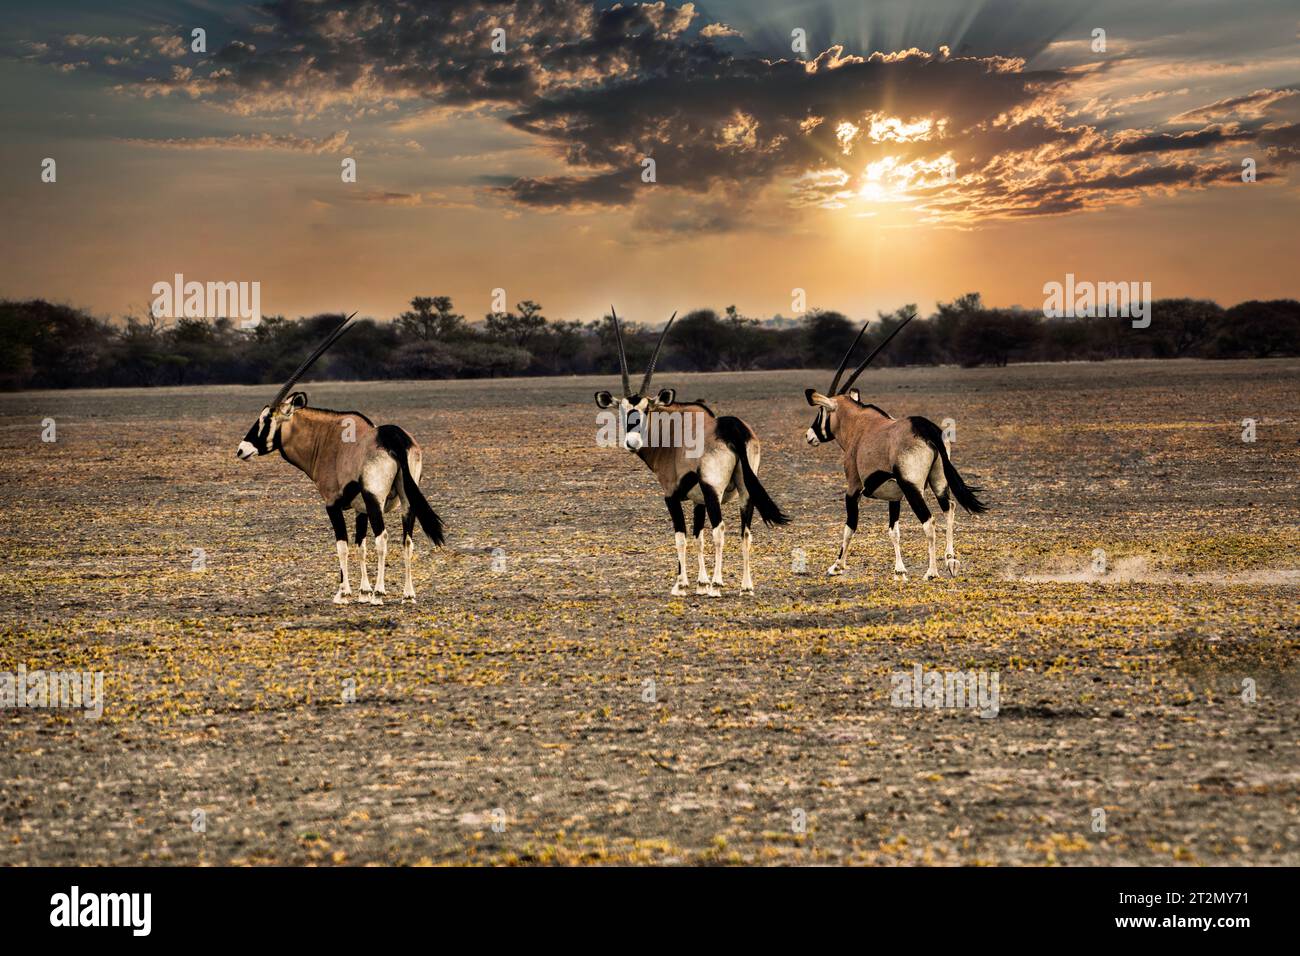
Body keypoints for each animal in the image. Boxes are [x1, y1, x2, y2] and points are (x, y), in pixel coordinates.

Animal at [235, 314, 446, 604]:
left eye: (266, 419)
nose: (242, 450)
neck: (327, 440)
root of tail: (395, 438)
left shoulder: (333, 503)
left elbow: (343, 546)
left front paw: (344, 593)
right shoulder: (360, 509)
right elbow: (360, 546)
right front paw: (363, 592)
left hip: (376, 497)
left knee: (383, 538)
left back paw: (381, 593)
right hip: (406, 498)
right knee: (407, 540)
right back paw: (407, 594)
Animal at [594, 309, 790, 597]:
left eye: (646, 409)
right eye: (622, 410)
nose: (632, 441)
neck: (671, 432)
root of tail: (733, 428)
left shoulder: (672, 495)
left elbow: (681, 536)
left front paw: (682, 584)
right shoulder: (698, 500)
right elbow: (698, 537)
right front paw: (700, 583)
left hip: (713, 489)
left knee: (720, 530)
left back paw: (718, 585)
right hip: (745, 490)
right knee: (745, 532)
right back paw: (745, 586)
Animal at [804, 316, 987, 580]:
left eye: (821, 412)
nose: (809, 436)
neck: (859, 425)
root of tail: (924, 427)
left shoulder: (853, 487)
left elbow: (850, 526)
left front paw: (836, 566)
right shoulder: (895, 495)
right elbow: (894, 531)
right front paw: (900, 569)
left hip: (913, 487)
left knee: (929, 521)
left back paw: (932, 572)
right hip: (938, 481)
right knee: (949, 508)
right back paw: (951, 560)